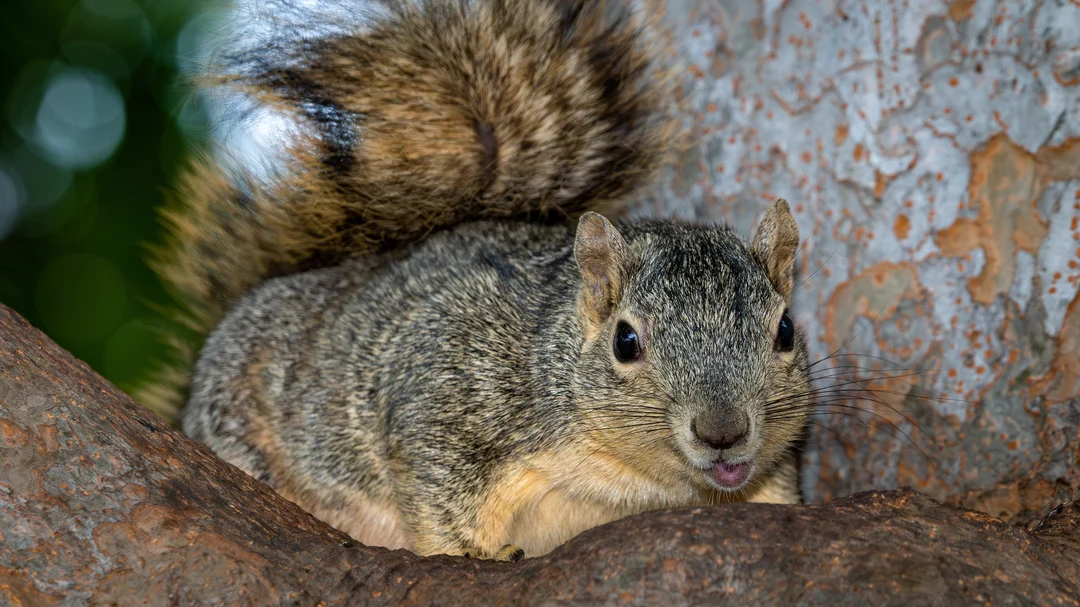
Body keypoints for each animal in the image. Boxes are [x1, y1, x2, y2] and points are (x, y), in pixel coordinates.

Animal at [144, 0, 812, 561]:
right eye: (626, 341)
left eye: (786, 330)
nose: (723, 433)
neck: (633, 478)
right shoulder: (450, 389)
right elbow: (438, 488)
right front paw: (474, 554)